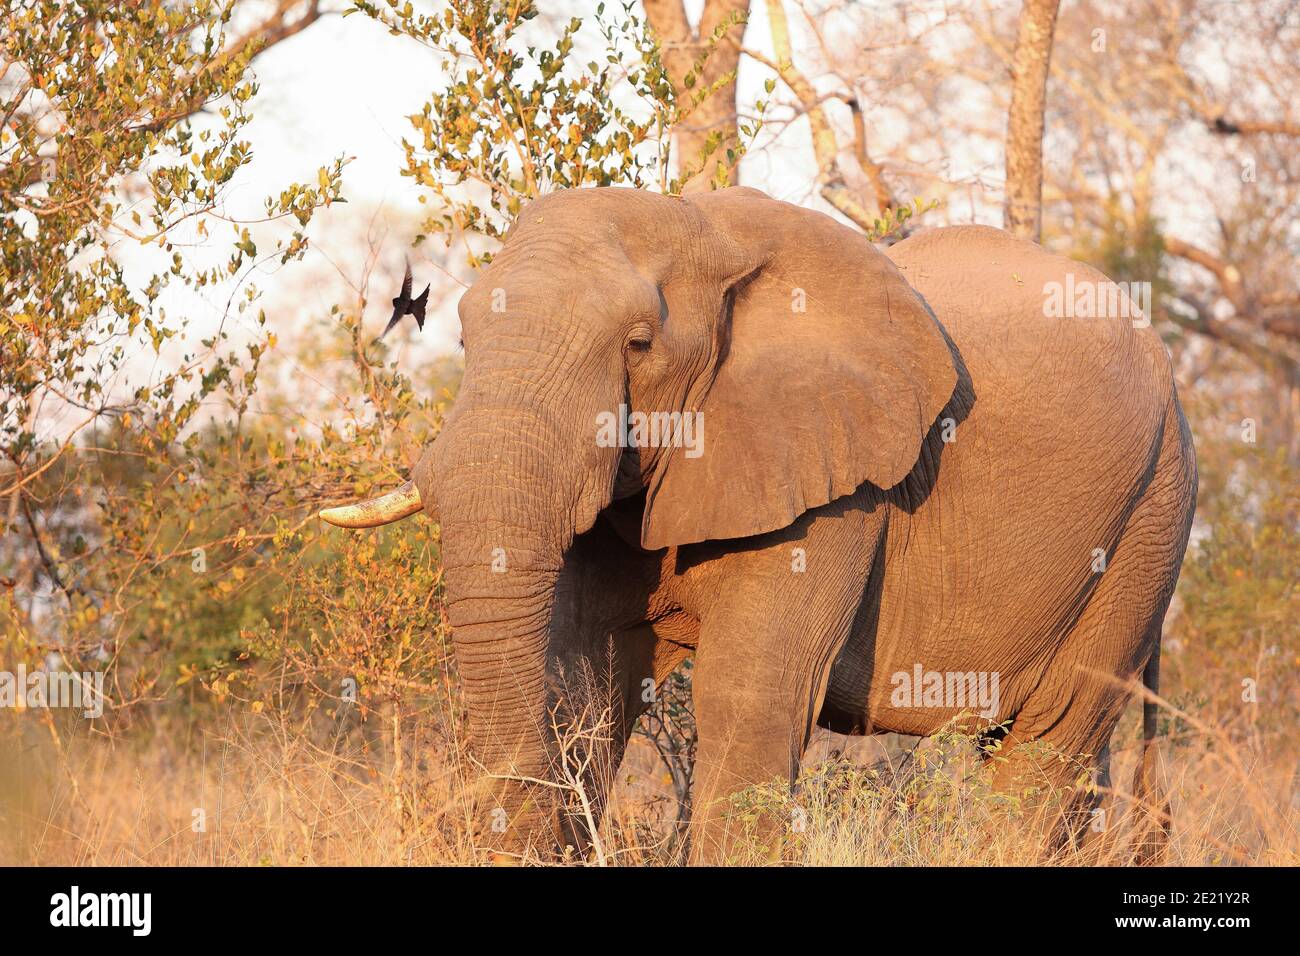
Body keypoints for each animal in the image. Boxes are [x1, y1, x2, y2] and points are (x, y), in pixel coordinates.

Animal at [321, 186, 1197, 864]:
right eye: (465, 334)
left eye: (638, 344)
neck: (700, 229)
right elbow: (584, 678)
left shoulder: (838, 480)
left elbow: (748, 698)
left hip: (1148, 524)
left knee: (1046, 746)